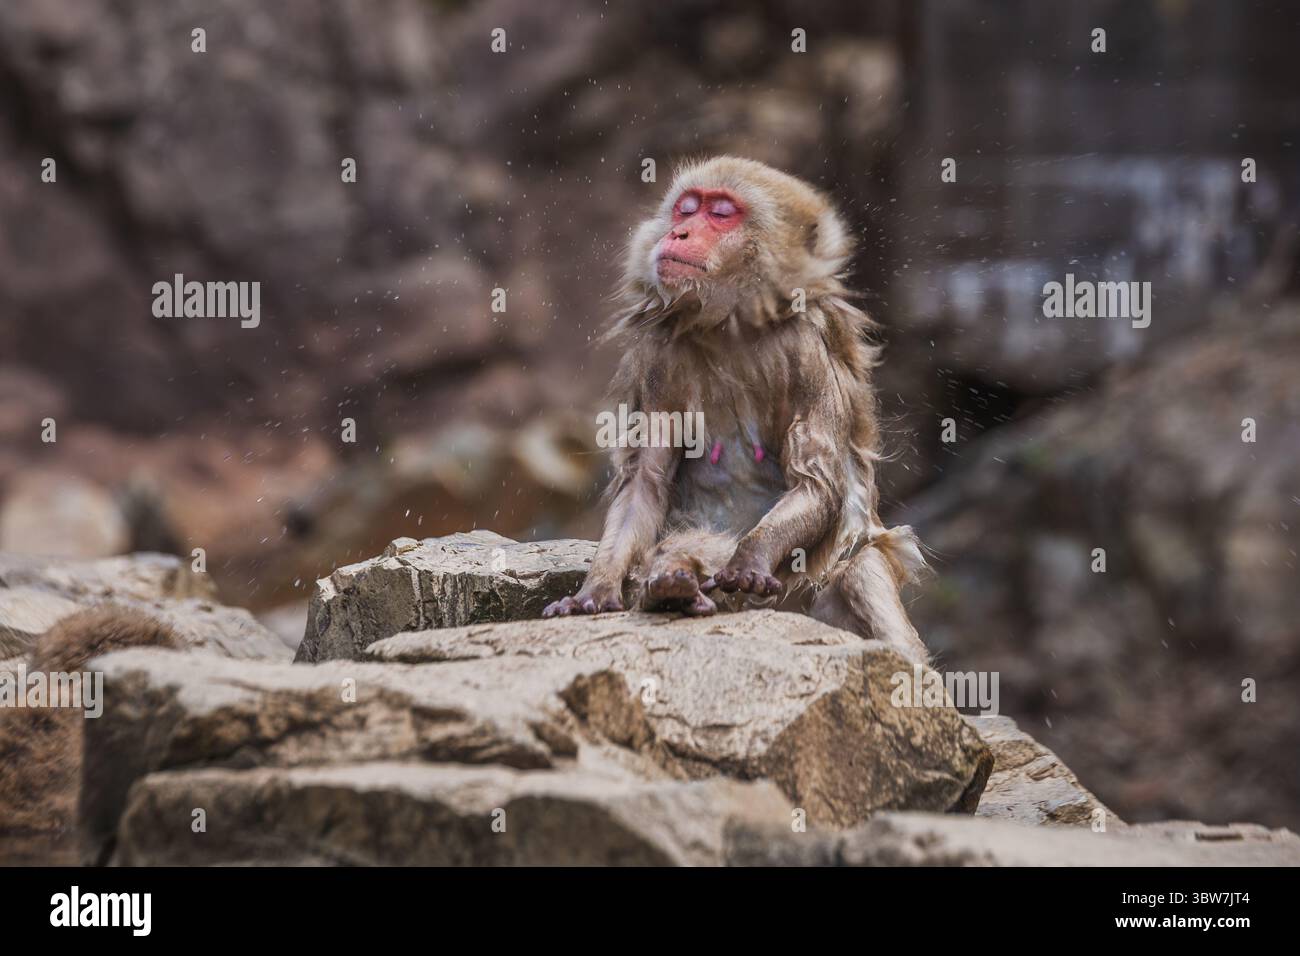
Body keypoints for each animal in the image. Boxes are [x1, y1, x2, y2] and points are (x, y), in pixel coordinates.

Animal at [542, 156, 930, 664]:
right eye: (687, 209)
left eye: (721, 213)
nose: (679, 233)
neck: (728, 324)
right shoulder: (657, 357)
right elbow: (645, 481)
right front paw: (597, 587)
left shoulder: (808, 352)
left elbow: (817, 481)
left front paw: (749, 557)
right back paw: (675, 586)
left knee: (859, 570)